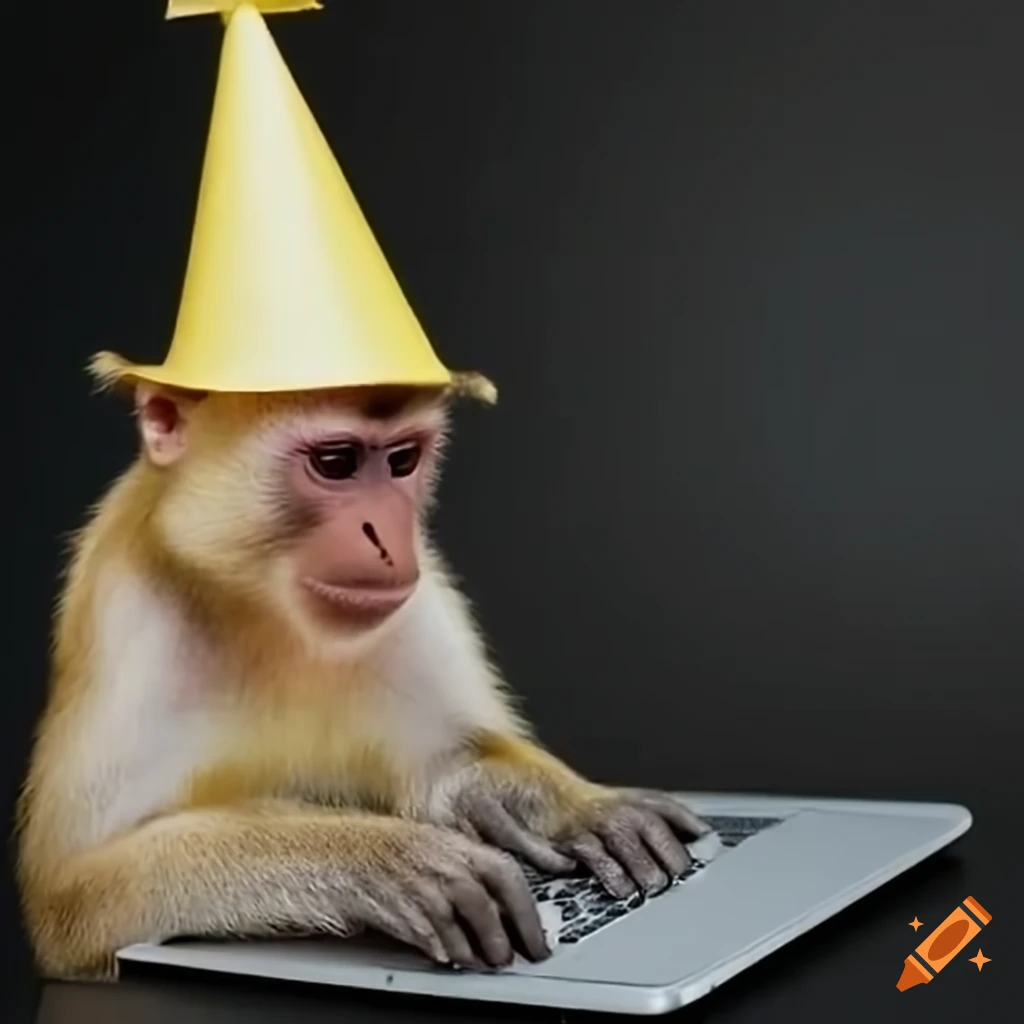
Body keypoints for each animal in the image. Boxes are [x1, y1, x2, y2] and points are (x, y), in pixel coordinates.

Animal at [15, 353, 710, 981]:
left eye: (402, 461)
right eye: (336, 464)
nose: (389, 534)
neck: (271, 615)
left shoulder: (418, 611)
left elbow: (449, 760)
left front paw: (557, 805)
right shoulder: (133, 628)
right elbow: (73, 896)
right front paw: (391, 858)